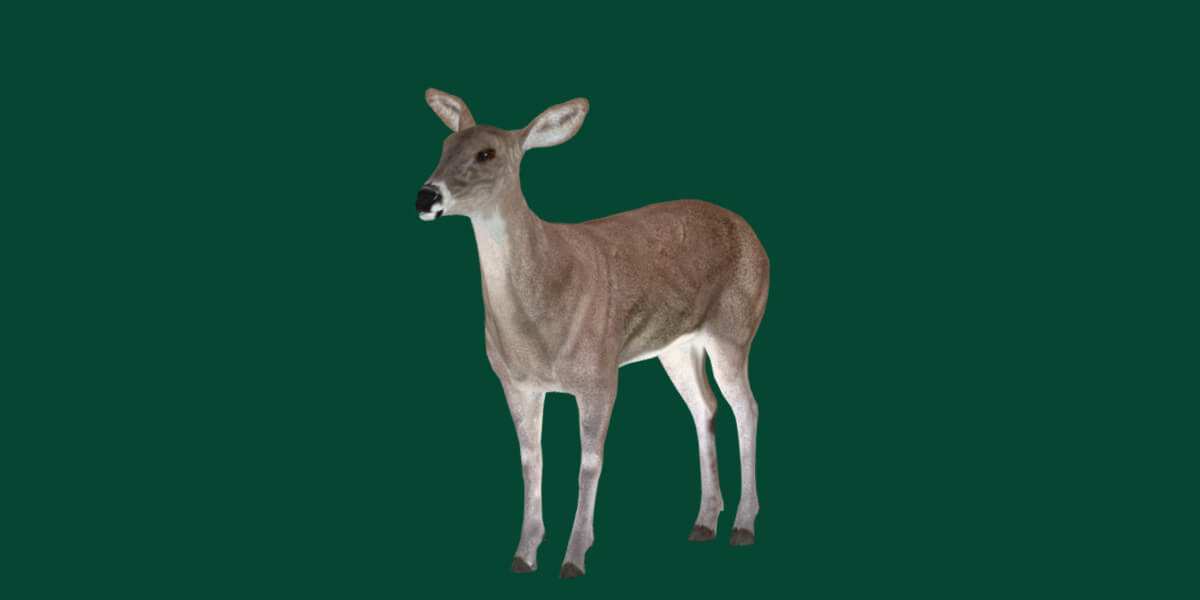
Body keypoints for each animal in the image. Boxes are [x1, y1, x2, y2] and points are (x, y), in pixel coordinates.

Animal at [414, 89, 769, 578]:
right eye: (445, 146)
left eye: (486, 153)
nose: (425, 196)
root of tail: (756, 238)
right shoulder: (515, 382)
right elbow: (531, 459)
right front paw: (524, 553)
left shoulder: (599, 374)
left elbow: (589, 463)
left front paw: (575, 556)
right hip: (676, 346)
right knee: (705, 406)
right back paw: (703, 522)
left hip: (735, 326)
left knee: (746, 408)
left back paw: (743, 526)